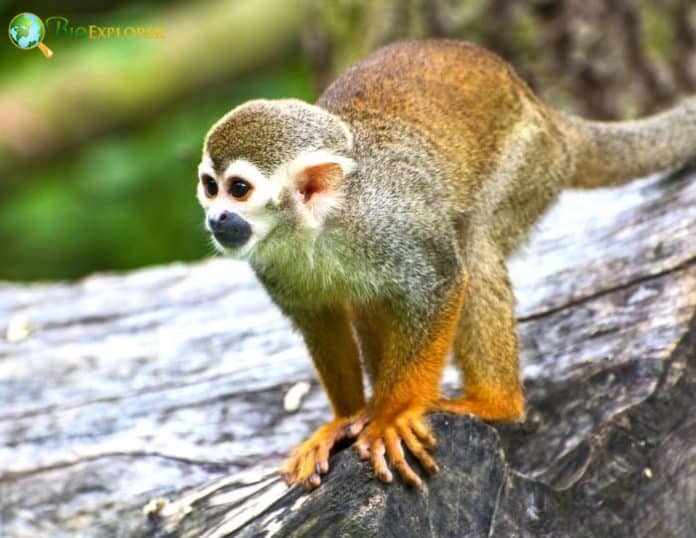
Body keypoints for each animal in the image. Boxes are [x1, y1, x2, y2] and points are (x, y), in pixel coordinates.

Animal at [197, 40, 696, 491]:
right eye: (209, 186)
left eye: (238, 189)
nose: (215, 217)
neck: (319, 224)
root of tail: (544, 110)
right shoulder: (273, 263)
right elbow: (322, 321)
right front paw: (347, 419)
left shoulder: (391, 223)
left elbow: (441, 280)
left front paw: (393, 417)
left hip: (528, 164)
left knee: (472, 247)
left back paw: (494, 404)